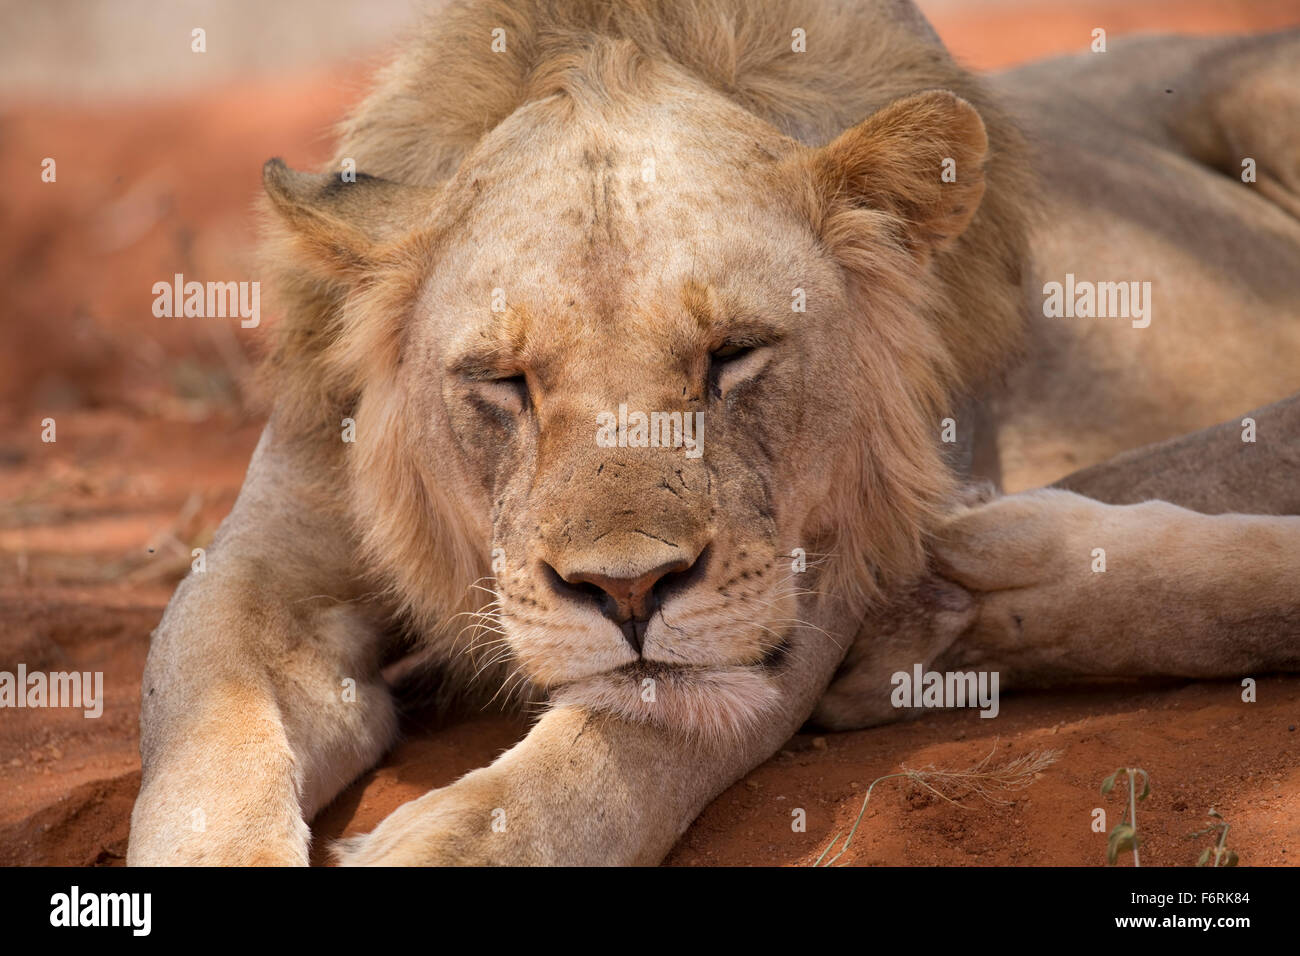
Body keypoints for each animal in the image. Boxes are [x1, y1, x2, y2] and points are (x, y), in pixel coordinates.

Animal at [128, 0, 1300, 865]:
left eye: (733, 353)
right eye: (504, 381)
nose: (628, 590)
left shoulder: (820, 553)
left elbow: (617, 753)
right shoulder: (271, 555)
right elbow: (203, 748)